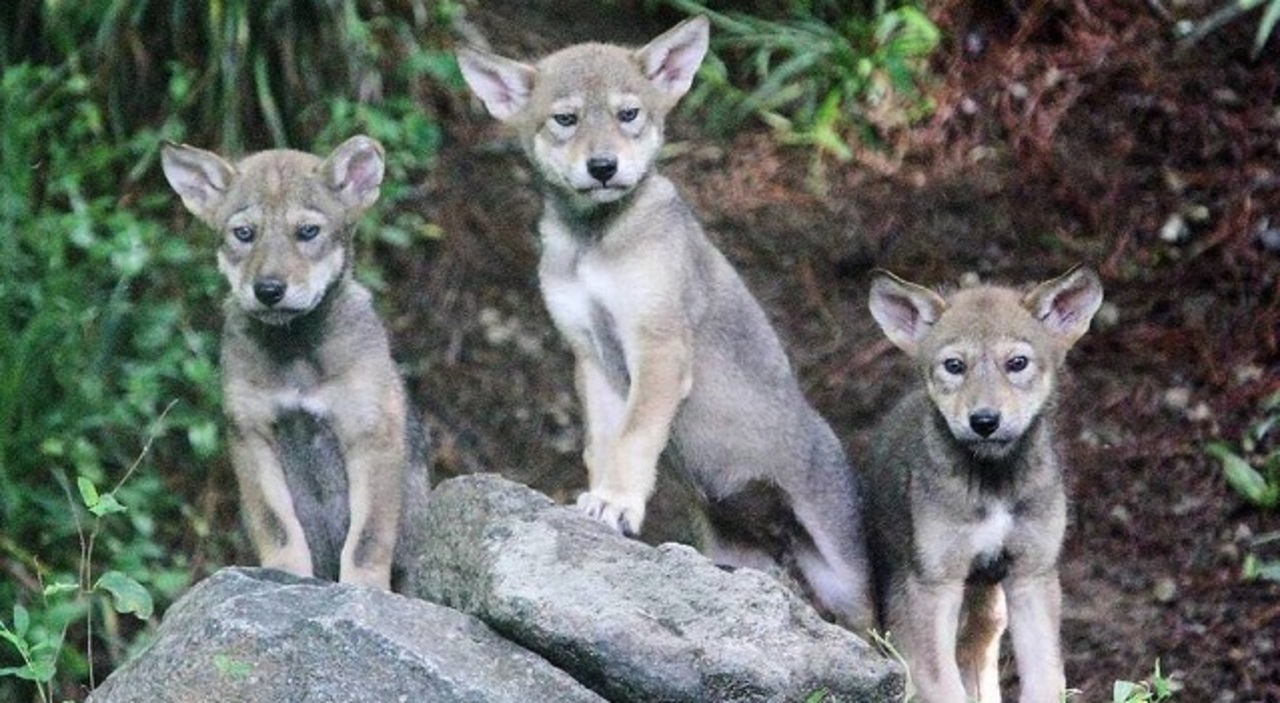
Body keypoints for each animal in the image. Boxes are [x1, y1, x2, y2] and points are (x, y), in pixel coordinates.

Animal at [161, 135, 429, 591]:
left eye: (308, 232)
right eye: (244, 234)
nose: (268, 290)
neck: (296, 350)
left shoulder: (371, 435)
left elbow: (367, 539)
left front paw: (366, 589)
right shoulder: (252, 435)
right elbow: (278, 526)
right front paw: (285, 576)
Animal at [455, 16, 873, 631]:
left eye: (629, 113)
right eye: (566, 119)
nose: (603, 167)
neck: (594, 243)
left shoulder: (658, 349)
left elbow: (634, 438)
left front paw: (619, 502)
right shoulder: (591, 356)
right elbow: (603, 443)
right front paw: (601, 501)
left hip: (848, 583)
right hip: (742, 558)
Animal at [864, 265, 1103, 702]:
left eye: (1018, 363)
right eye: (954, 365)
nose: (985, 421)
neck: (993, 485)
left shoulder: (1031, 575)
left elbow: (1046, 679)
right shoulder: (934, 584)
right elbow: (941, 684)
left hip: (988, 606)